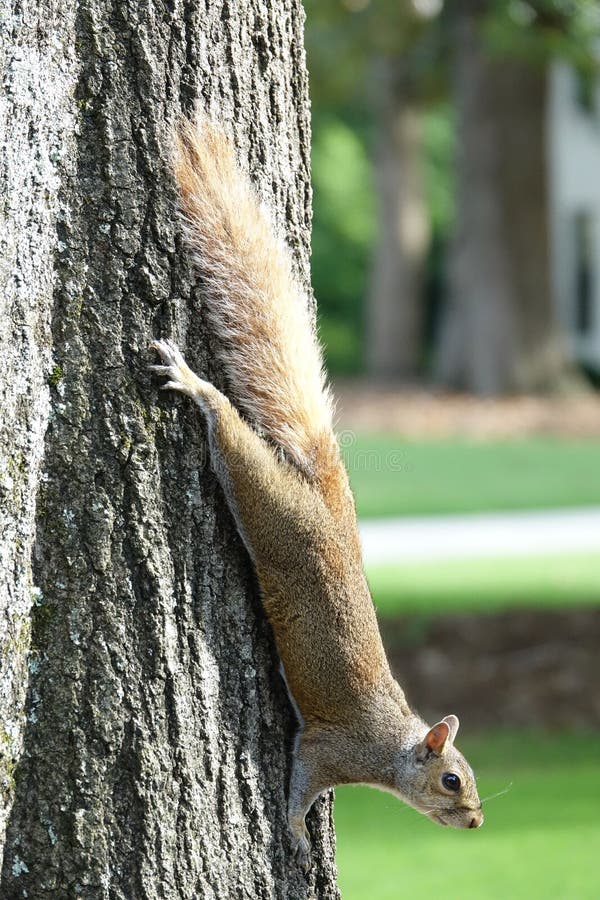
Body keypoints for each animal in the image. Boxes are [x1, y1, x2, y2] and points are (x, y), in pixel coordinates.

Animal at [150, 116, 483, 871]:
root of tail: (327, 497)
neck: (390, 750)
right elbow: (301, 781)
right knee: (232, 440)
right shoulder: (327, 748)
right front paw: (297, 830)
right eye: (452, 779)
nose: (478, 821)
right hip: (267, 503)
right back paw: (194, 383)